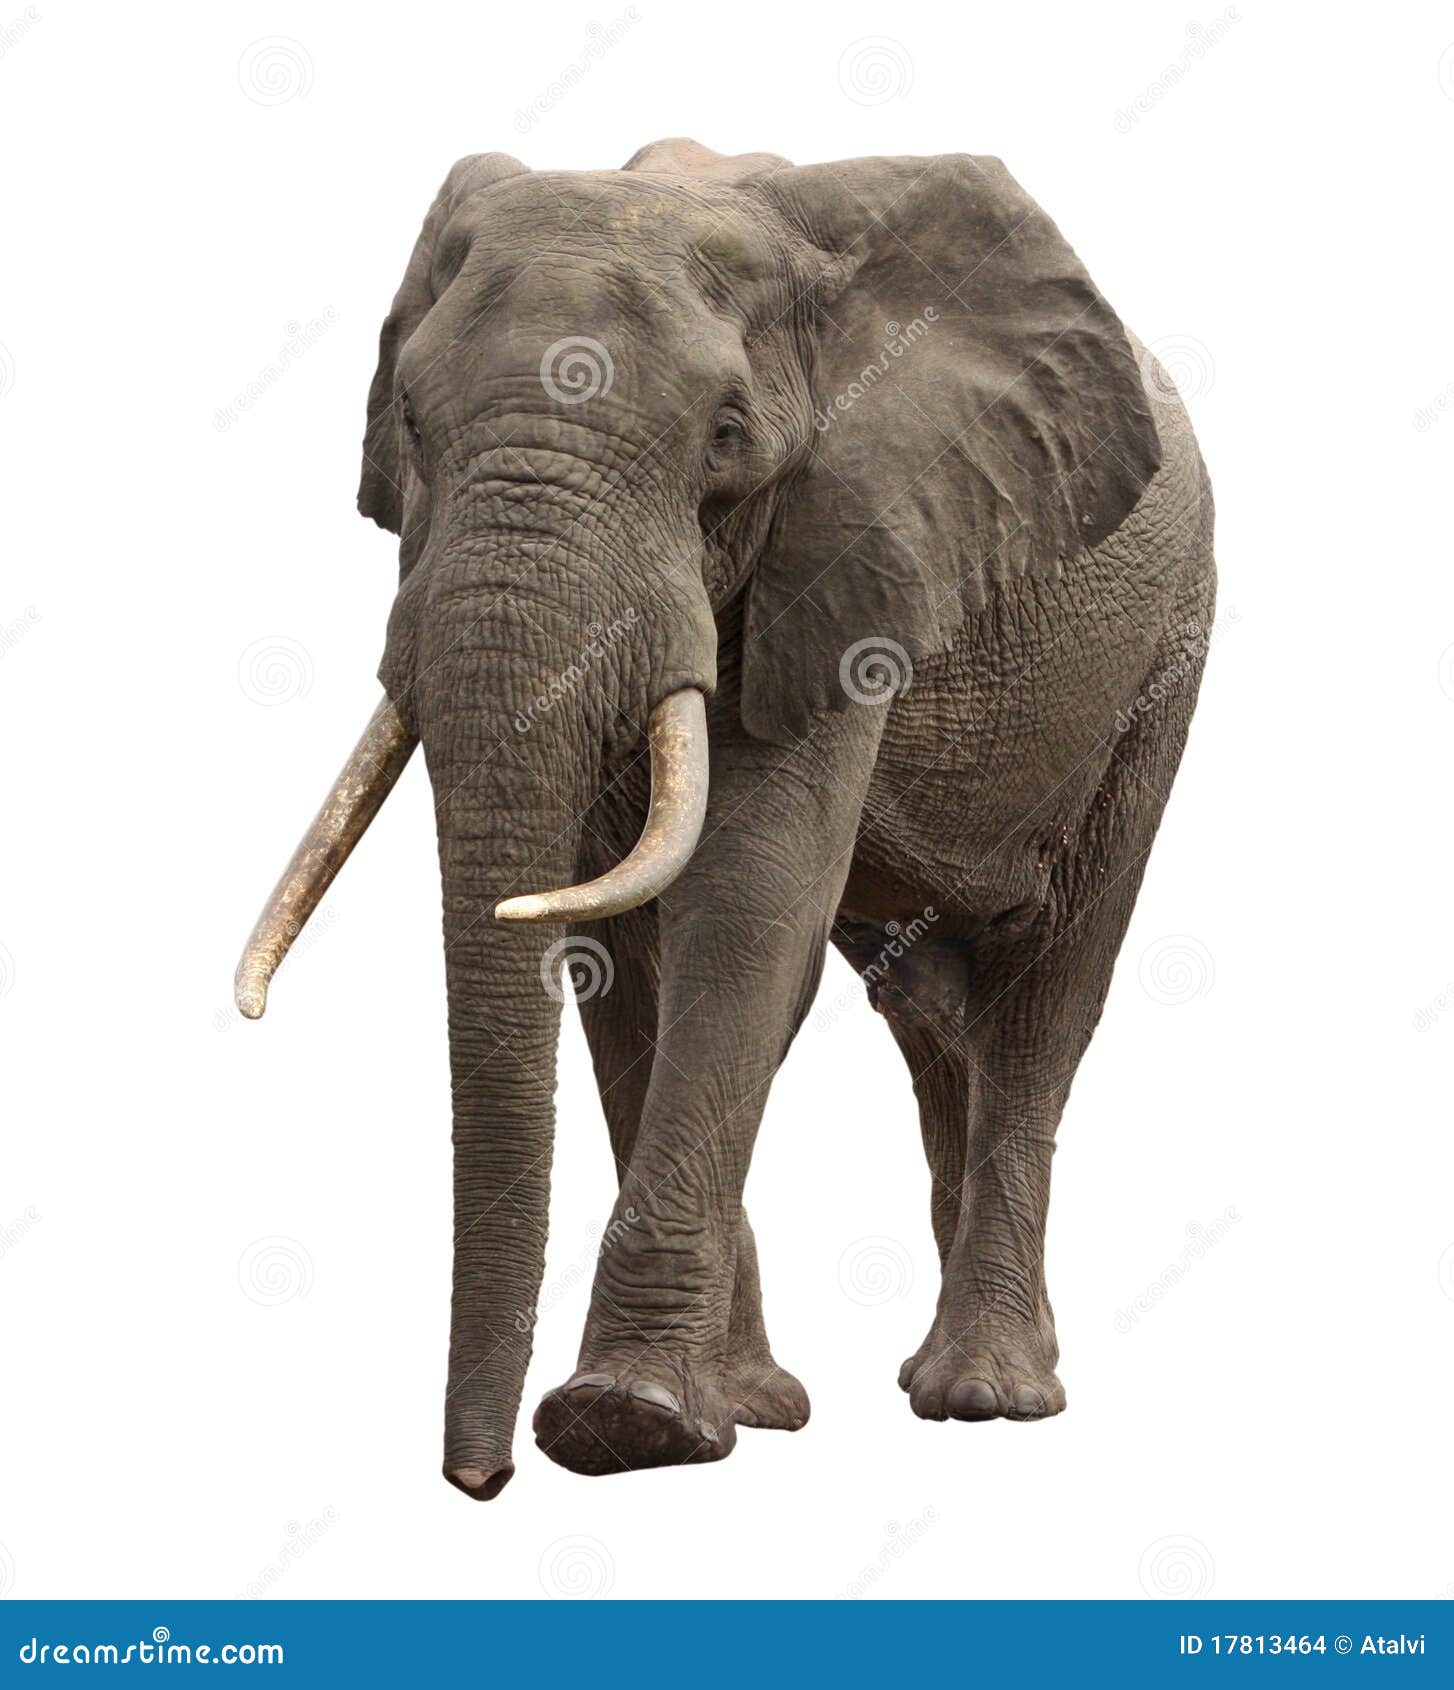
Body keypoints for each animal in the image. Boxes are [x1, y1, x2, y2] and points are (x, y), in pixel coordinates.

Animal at [236, 138, 1215, 1500]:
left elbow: (747, 902)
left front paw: (626, 1423)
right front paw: (733, 1410)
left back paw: (984, 1396)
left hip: (1159, 657)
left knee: (1046, 992)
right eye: (413, 425)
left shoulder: (851, 546)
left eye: (725, 438)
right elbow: (617, 943)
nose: (479, 1480)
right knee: (929, 1015)